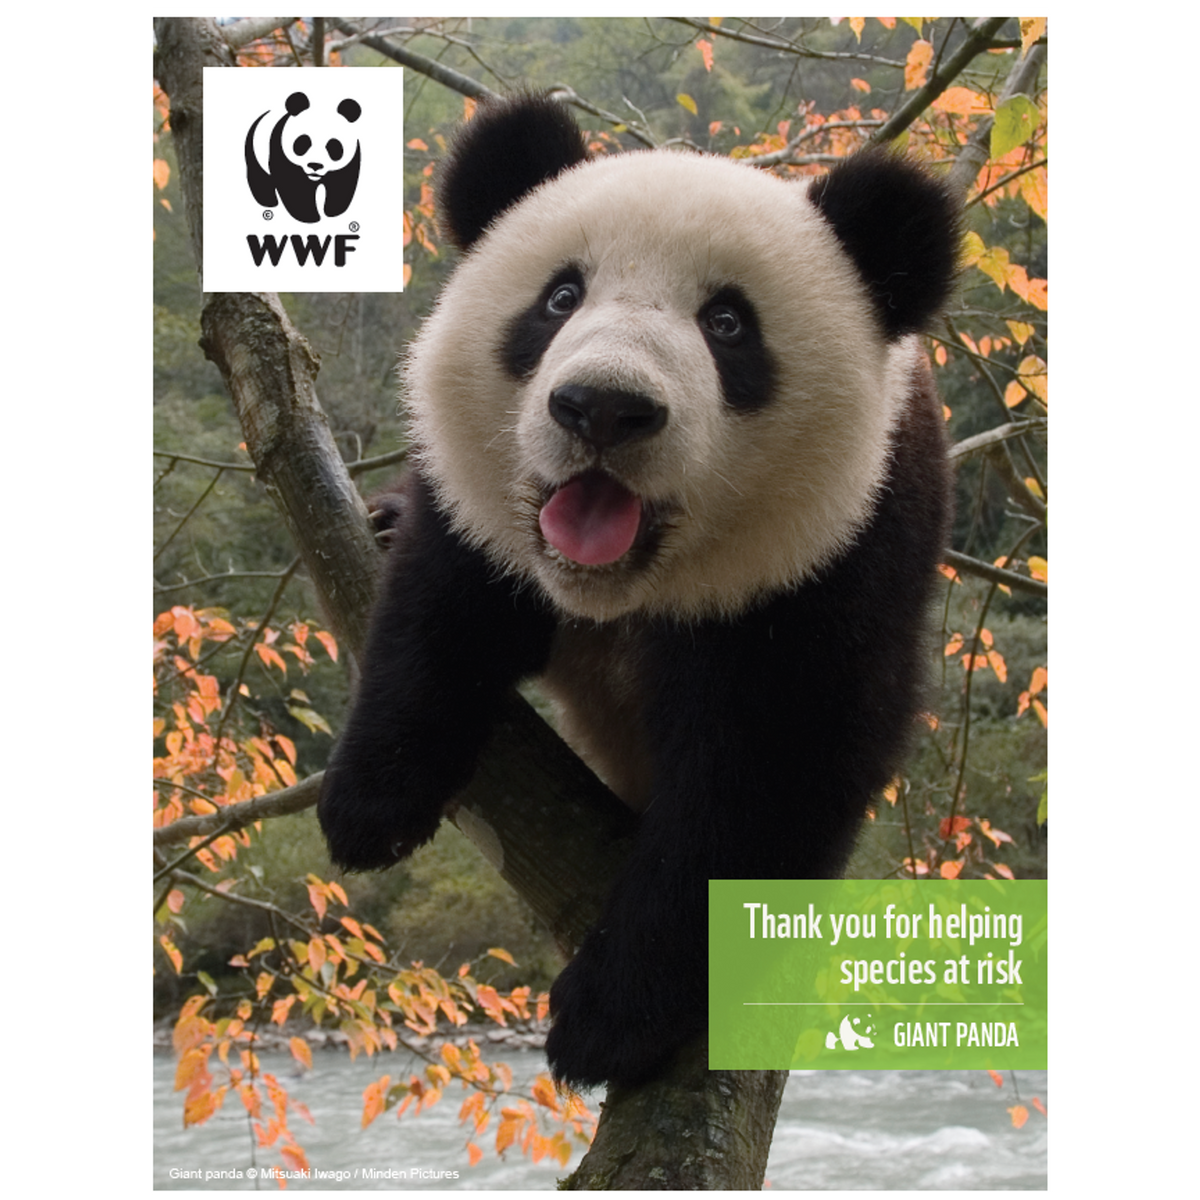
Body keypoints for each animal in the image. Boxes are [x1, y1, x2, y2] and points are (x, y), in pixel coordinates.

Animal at [245, 91, 362, 224]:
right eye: (303, 143)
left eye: (334, 146)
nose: (315, 165)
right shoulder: (281, 152)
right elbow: (295, 187)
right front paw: (310, 217)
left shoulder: (350, 160)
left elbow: (341, 183)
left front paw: (332, 212)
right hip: (254, 149)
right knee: (259, 176)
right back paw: (269, 202)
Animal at [318, 94, 957, 1089]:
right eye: (560, 297)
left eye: (729, 324)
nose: (603, 408)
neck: (623, 586)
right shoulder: (477, 506)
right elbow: (443, 605)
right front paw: (371, 806)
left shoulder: (853, 542)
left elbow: (768, 767)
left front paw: (609, 1015)